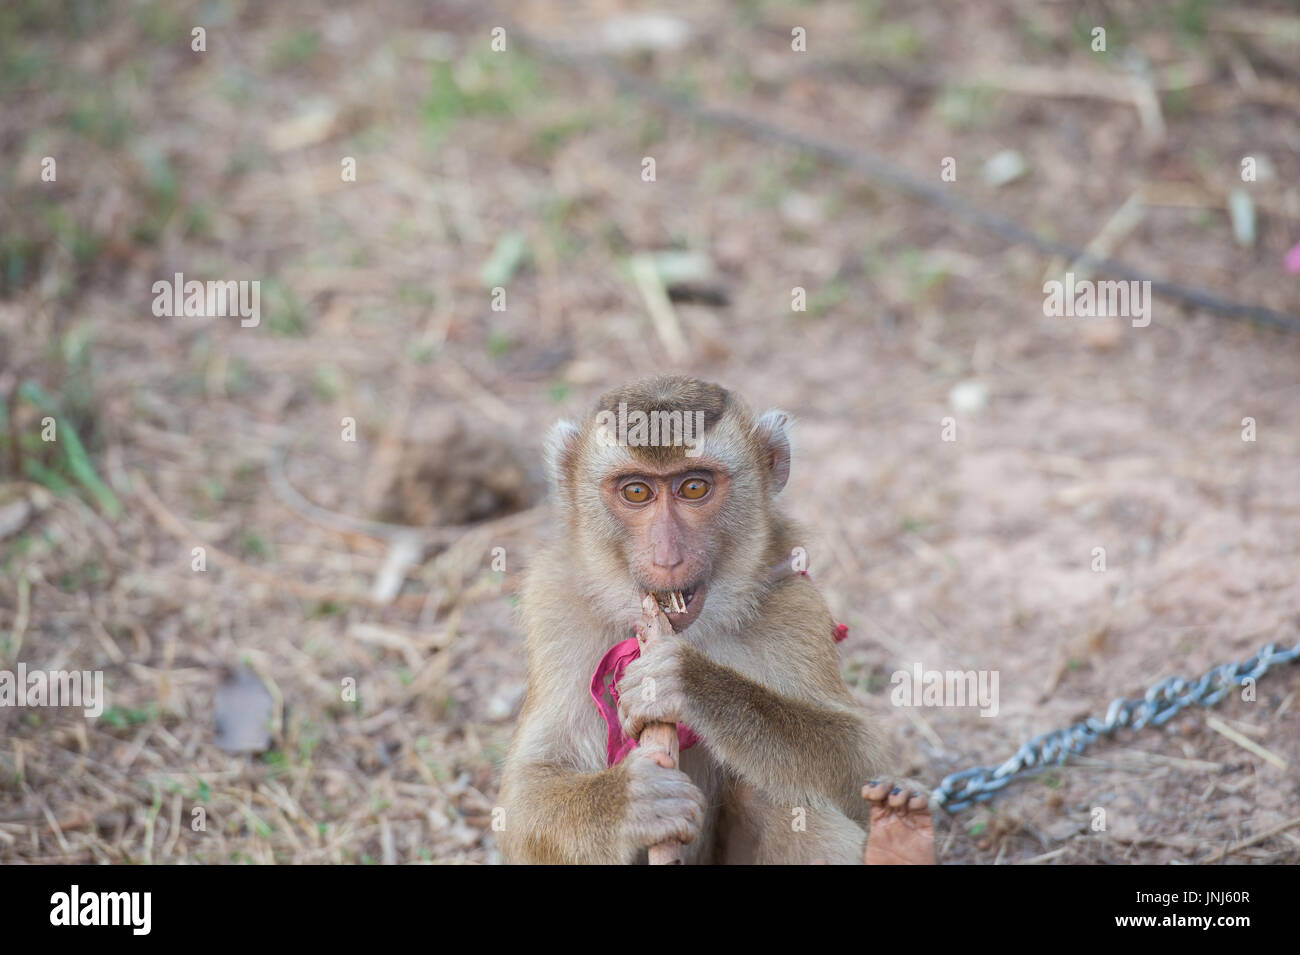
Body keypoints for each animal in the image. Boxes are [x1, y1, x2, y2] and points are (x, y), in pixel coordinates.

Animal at [498, 375, 919, 864]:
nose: (667, 556)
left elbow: (861, 759)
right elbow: (522, 800)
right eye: (636, 491)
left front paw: (687, 683)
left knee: (777, 791)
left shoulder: (793, 603)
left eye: (695, 488)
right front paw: (634, 801)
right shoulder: (555, 604)